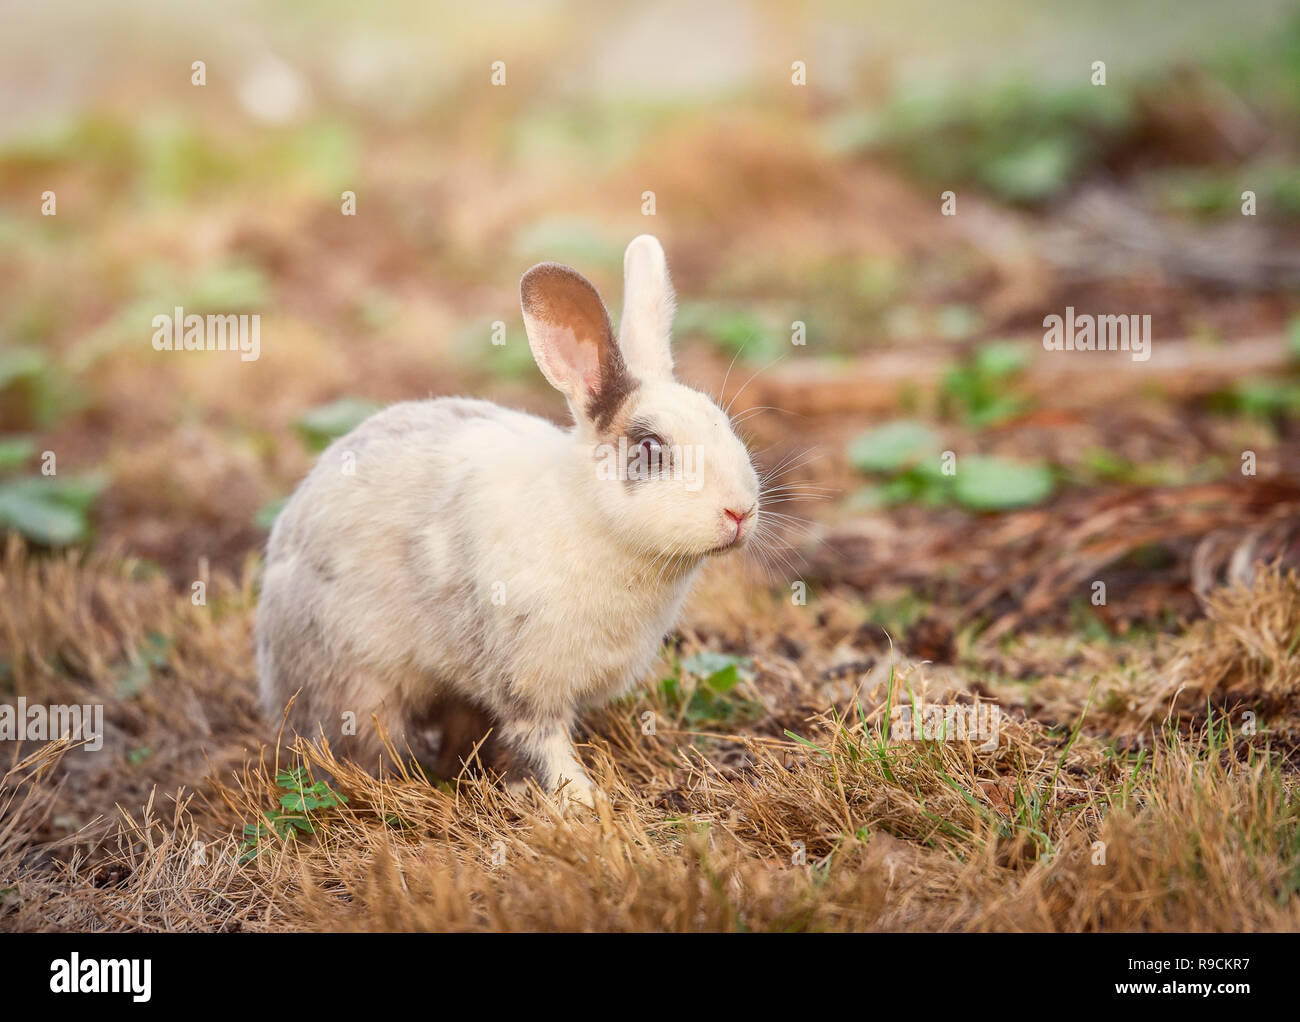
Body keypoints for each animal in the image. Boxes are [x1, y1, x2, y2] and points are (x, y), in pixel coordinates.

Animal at [256, 235, 760, 808]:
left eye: (722, 422)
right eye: (651, 448)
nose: (740, 511)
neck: (589, 520)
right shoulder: (527, 680)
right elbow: (539, 740)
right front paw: (582, 802)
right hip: (358, 686)